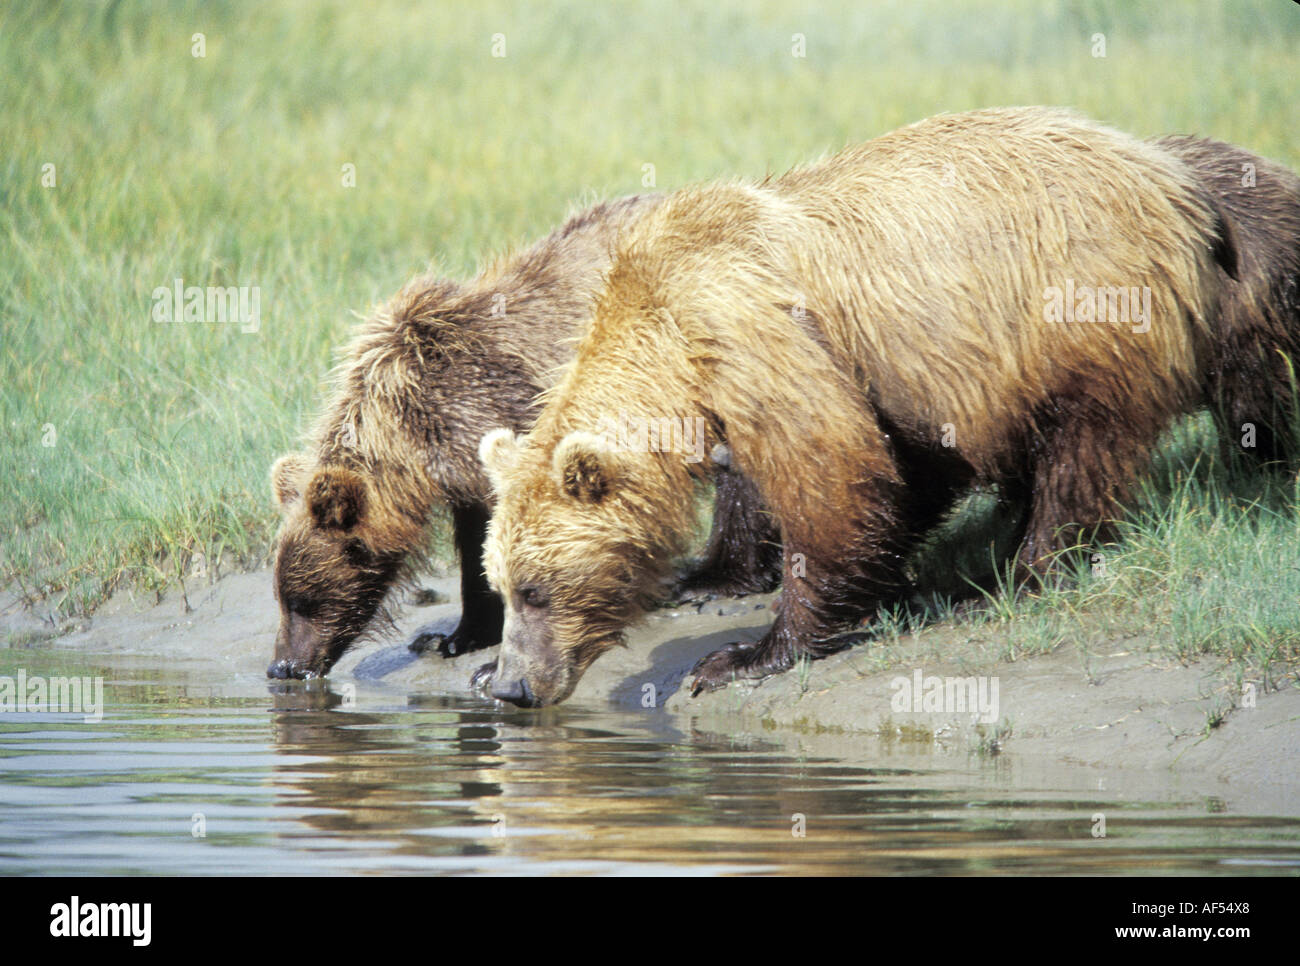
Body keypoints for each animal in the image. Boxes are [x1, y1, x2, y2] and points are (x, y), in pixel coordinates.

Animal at [476, 106, 1240, 707]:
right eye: (502, 586)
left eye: (536, 589)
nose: (513, 686)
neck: (662, 346)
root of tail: (1169, 178)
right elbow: (883, 473)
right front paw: (716, 578)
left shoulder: (753, 333)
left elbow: (830, 473)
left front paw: (745, 654)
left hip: (1078, 305)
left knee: (1081, 446)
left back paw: (1023, 570)